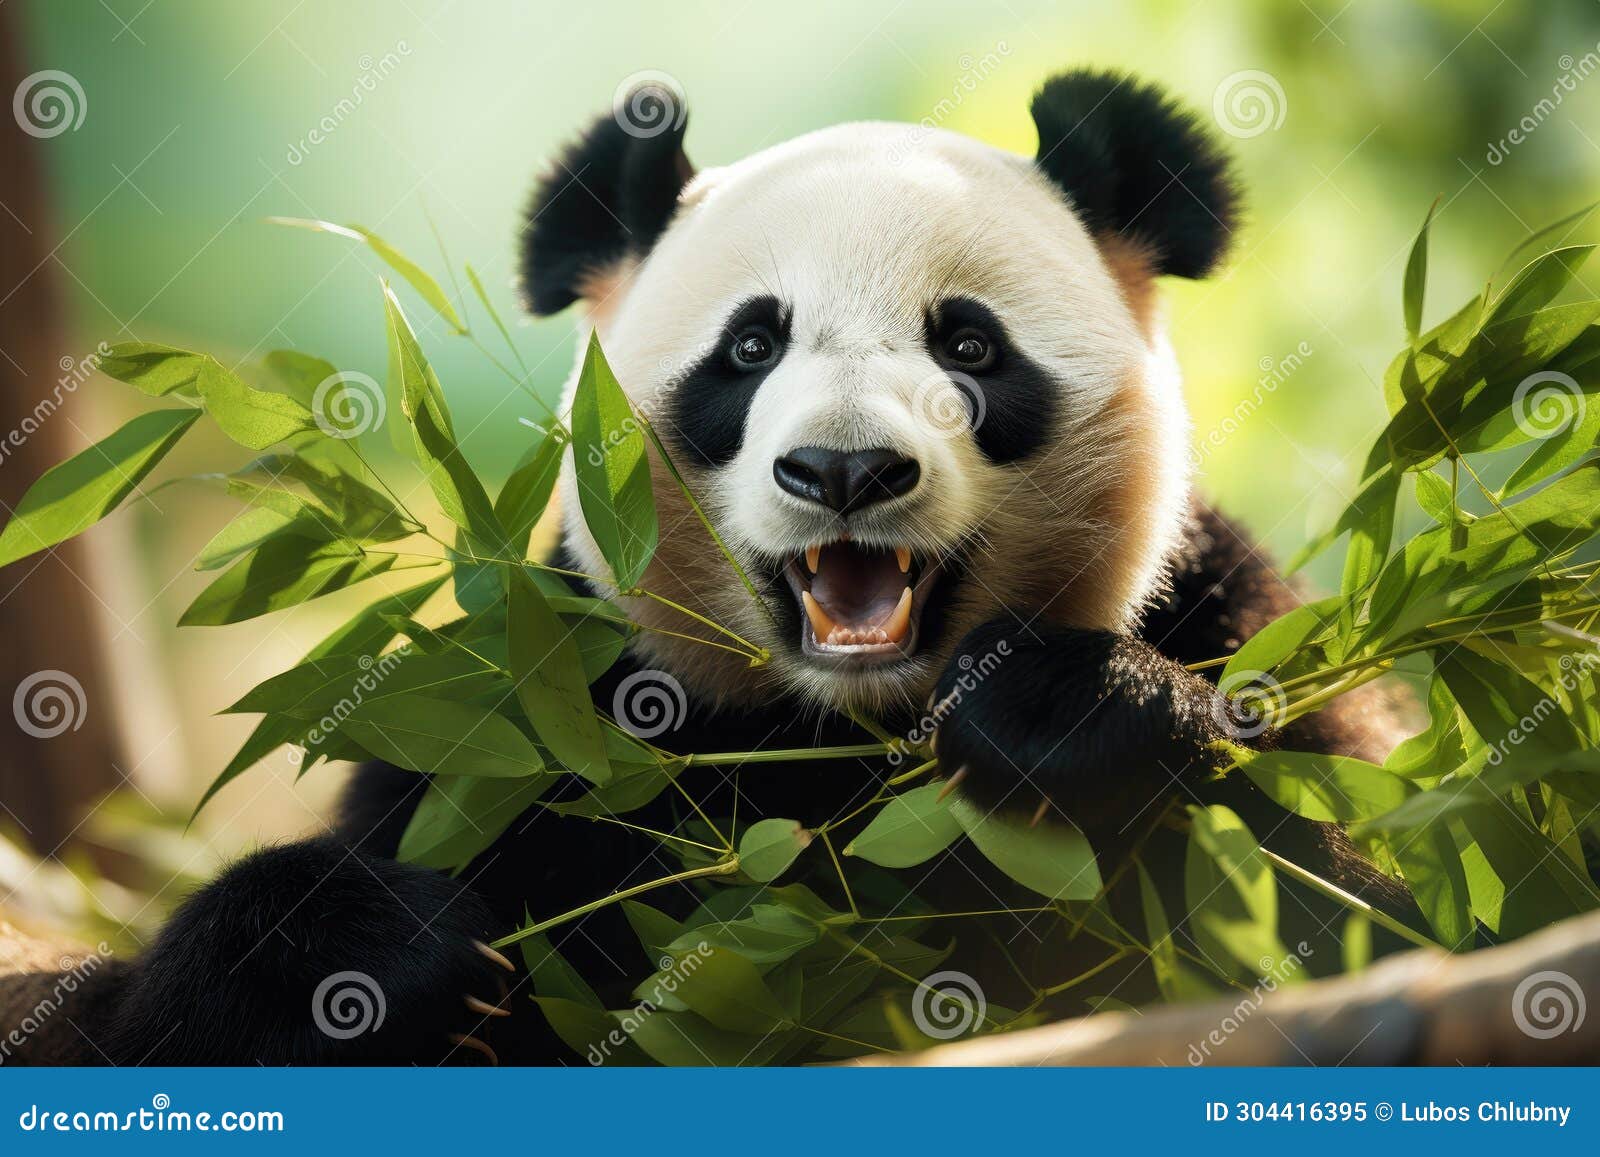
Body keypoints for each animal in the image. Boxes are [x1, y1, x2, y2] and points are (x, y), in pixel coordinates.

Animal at [40, 68, 1413, 1066]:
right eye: (751, 346)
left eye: (968, 346)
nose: (846, 471)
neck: (842, 738)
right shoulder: (533, 720)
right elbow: (124, 1020)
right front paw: (363, 950)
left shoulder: (1226, 608)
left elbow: (1359, 904)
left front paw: (1064, 714)